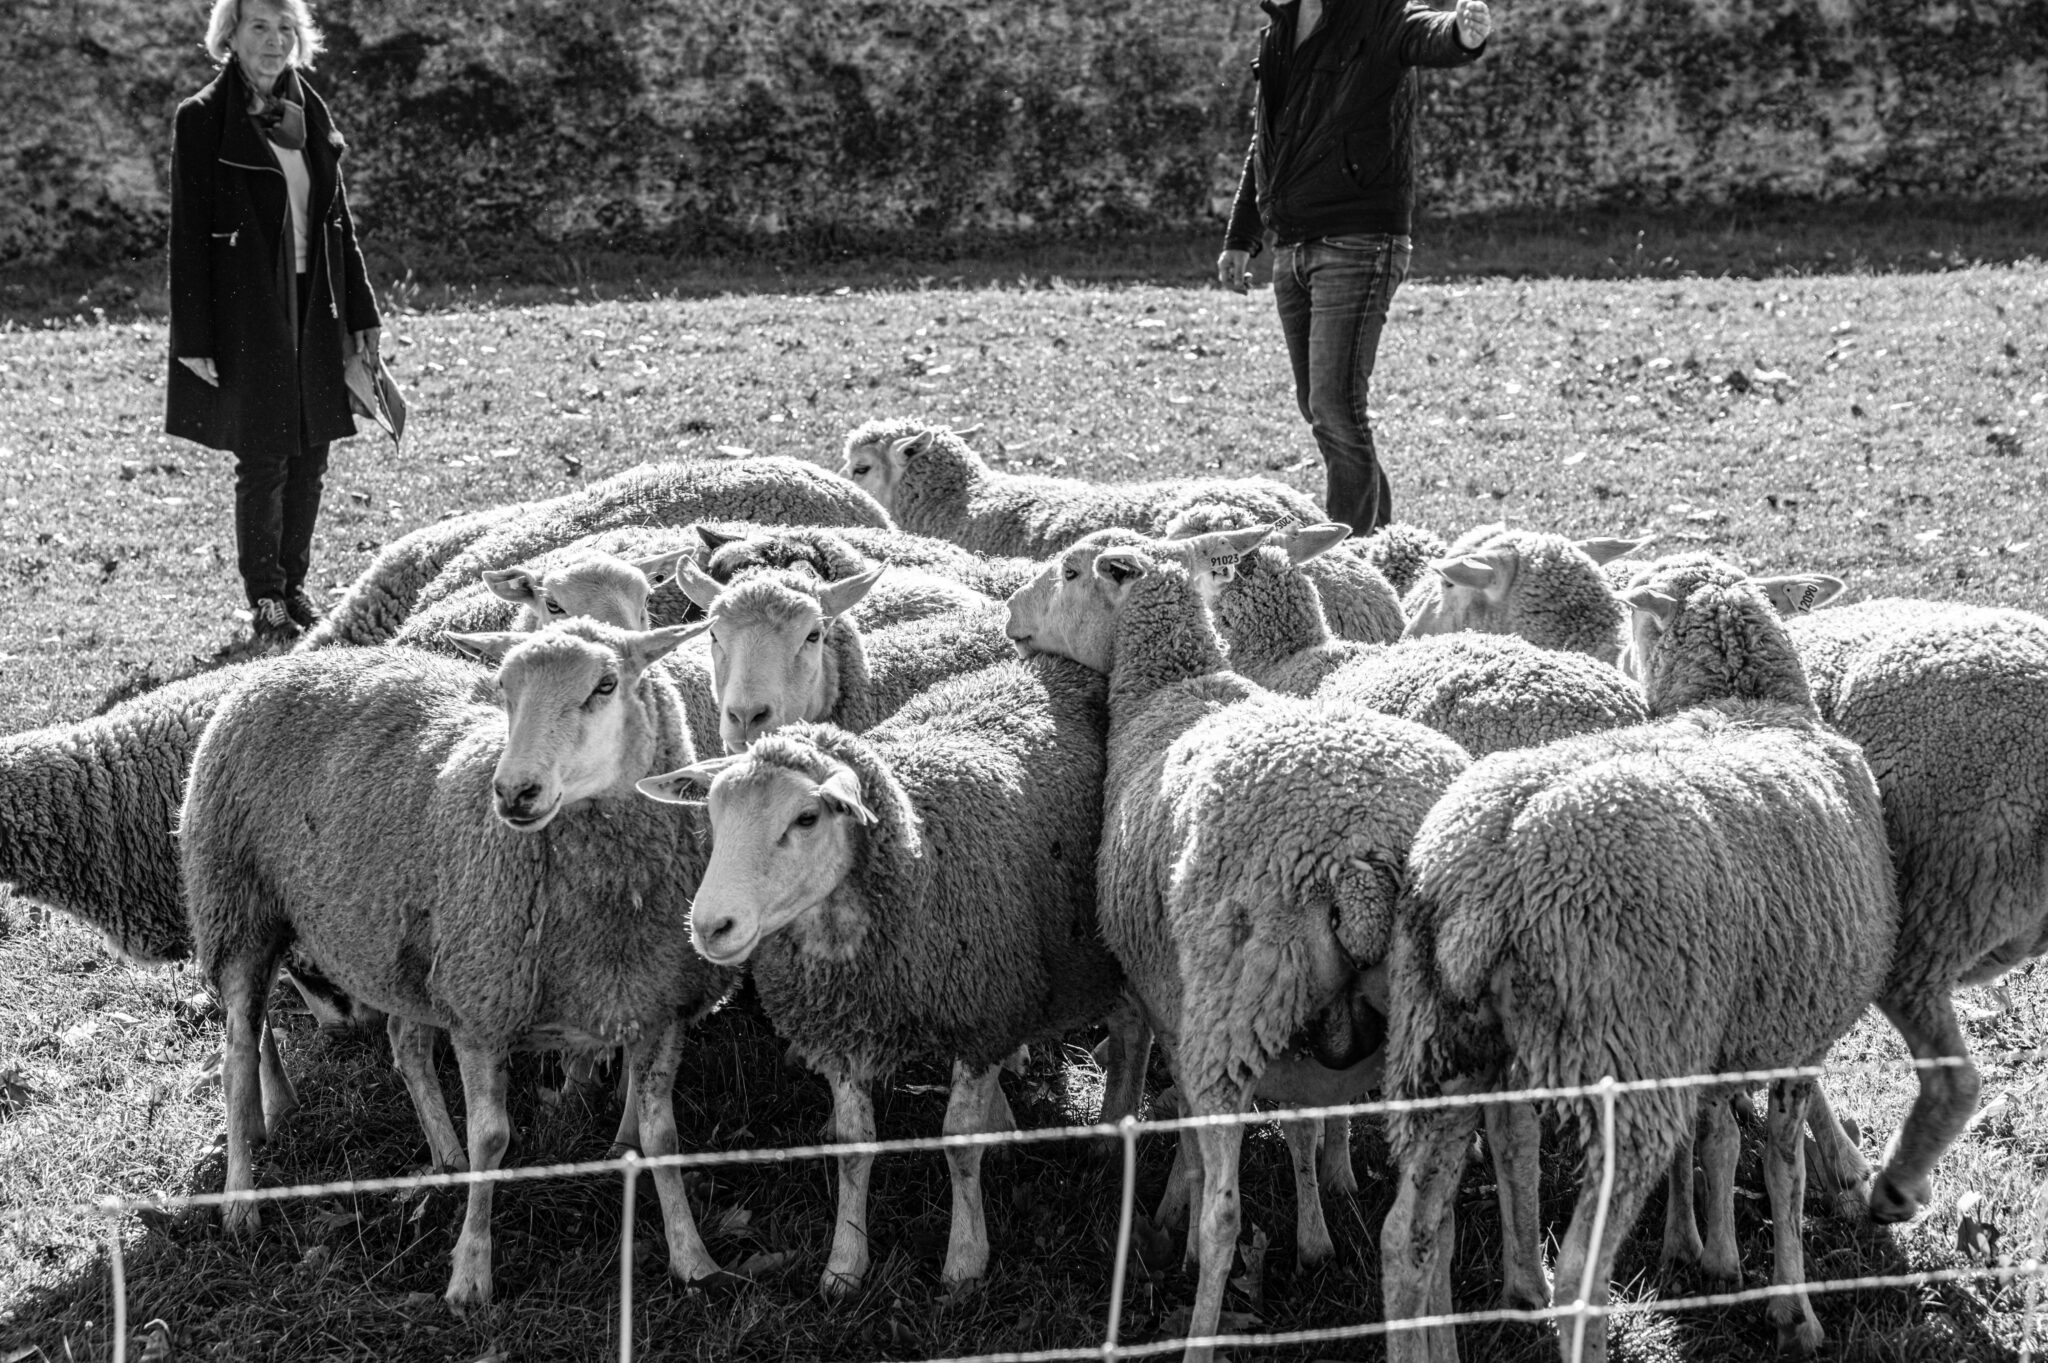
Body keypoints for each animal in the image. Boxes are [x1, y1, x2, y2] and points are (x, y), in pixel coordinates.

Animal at [183, 620, 734, 1310]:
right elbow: (492, 1140)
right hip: (238, 909)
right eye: (503, 687)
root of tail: (282, 664)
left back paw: (443, 1159)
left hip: (403, 950)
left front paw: (693, 1259)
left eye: (606, 684)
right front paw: (470, 1274)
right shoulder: (481, 1008)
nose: (513, 791)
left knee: (405, 1040)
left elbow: (663, 1139)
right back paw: (239, 1204)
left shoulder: (660, 1004)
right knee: (236, 1058)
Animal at [638, 653, 1125, 1296]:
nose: (710, 926)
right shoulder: (843, 1030)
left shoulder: (980, 1016)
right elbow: (853, 1147)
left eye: (808, 816)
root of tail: (1050, 664)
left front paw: (964, 1263)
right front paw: (845, 1264)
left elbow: (959, 1144)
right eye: (712, 815)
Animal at [1006, 527, 1470, 1363]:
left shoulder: (1167, 997)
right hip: (1438, 1044)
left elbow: (1189, 1139)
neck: (1173, 685)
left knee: (1232, 1210)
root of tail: (1364, 854)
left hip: (1234, 1008)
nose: (1009, 614)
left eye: (1069, 570)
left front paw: (1173, 1222)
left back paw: (1199, 1325)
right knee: (1424, 1228)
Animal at [1380, 571, 1903, 1363]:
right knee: (1580, 1273)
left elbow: (1717, 1140)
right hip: (1620, 1061)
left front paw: (1705, 1251)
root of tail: (1493, 865)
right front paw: (1793, 1309)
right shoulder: (1794, 1034)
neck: (1744, 704)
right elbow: (1783, 1169)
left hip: (1440, 1045)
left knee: (1407, 1234)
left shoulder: (1714, 1028)